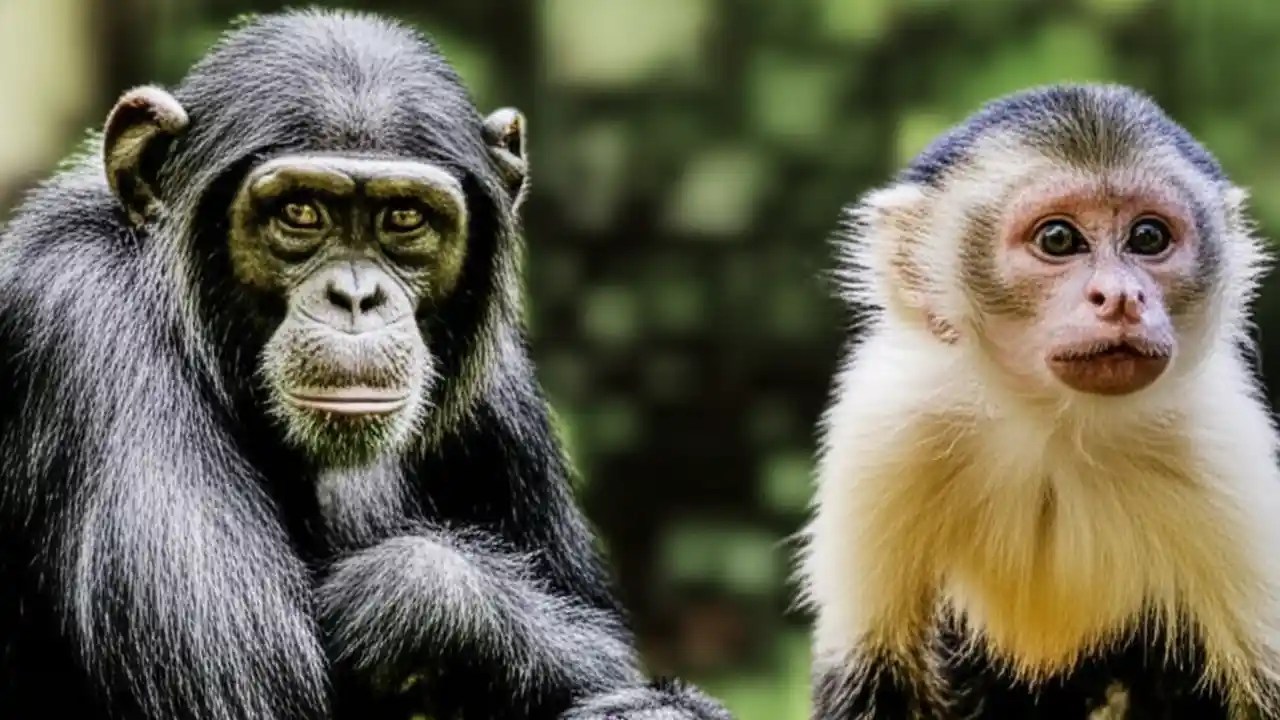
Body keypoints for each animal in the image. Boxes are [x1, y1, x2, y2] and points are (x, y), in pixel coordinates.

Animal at [0, 9, 732, 720]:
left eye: (404, 218)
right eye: (299, 211)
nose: (356, 296)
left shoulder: (504, 390)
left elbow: (610, 657)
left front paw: (414, 595)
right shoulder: (88, 325)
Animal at [796, 83, 1280, 719]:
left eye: (1148, 237)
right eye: (1058, 239)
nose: (1121, 296)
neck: (1057, 427)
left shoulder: (1222, 448)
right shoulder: (889, 428)